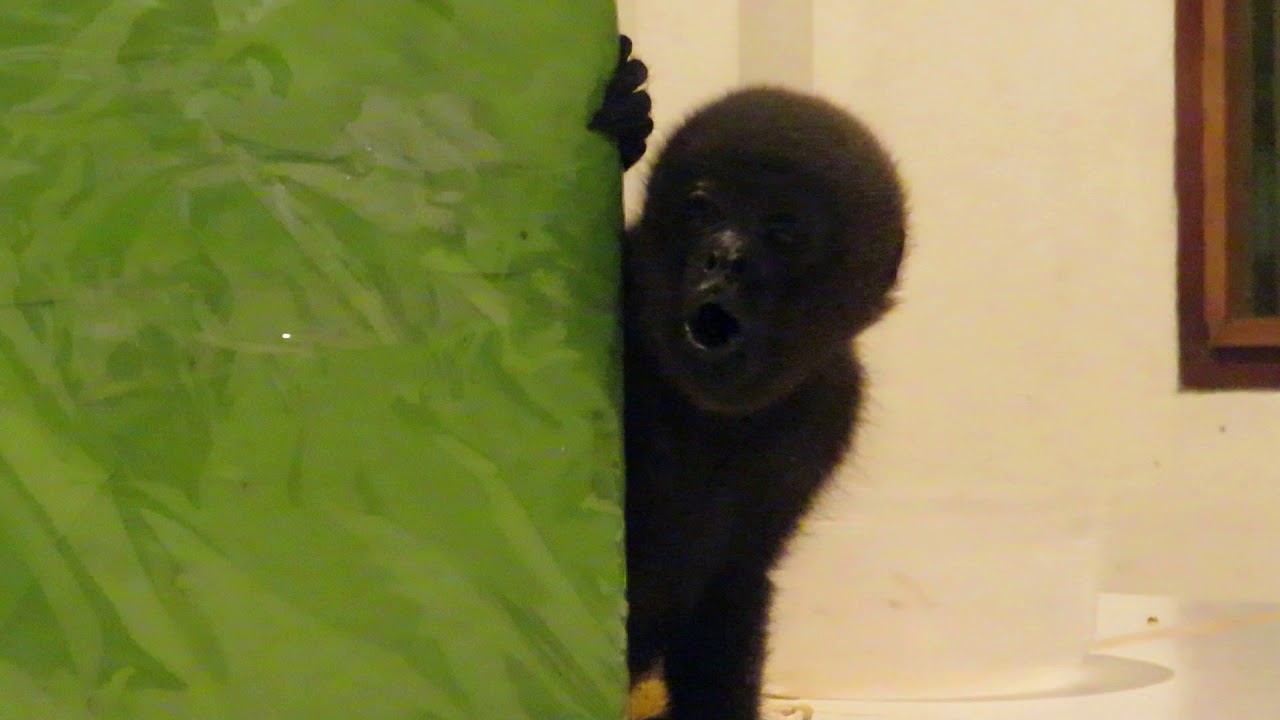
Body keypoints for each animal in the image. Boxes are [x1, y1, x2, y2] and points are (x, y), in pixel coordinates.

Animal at [592, 39, 907, 720]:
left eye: (781, 232)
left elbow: (733, 587)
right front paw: (627, 127)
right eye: (701, 209)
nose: (724, 257)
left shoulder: (833, 409)